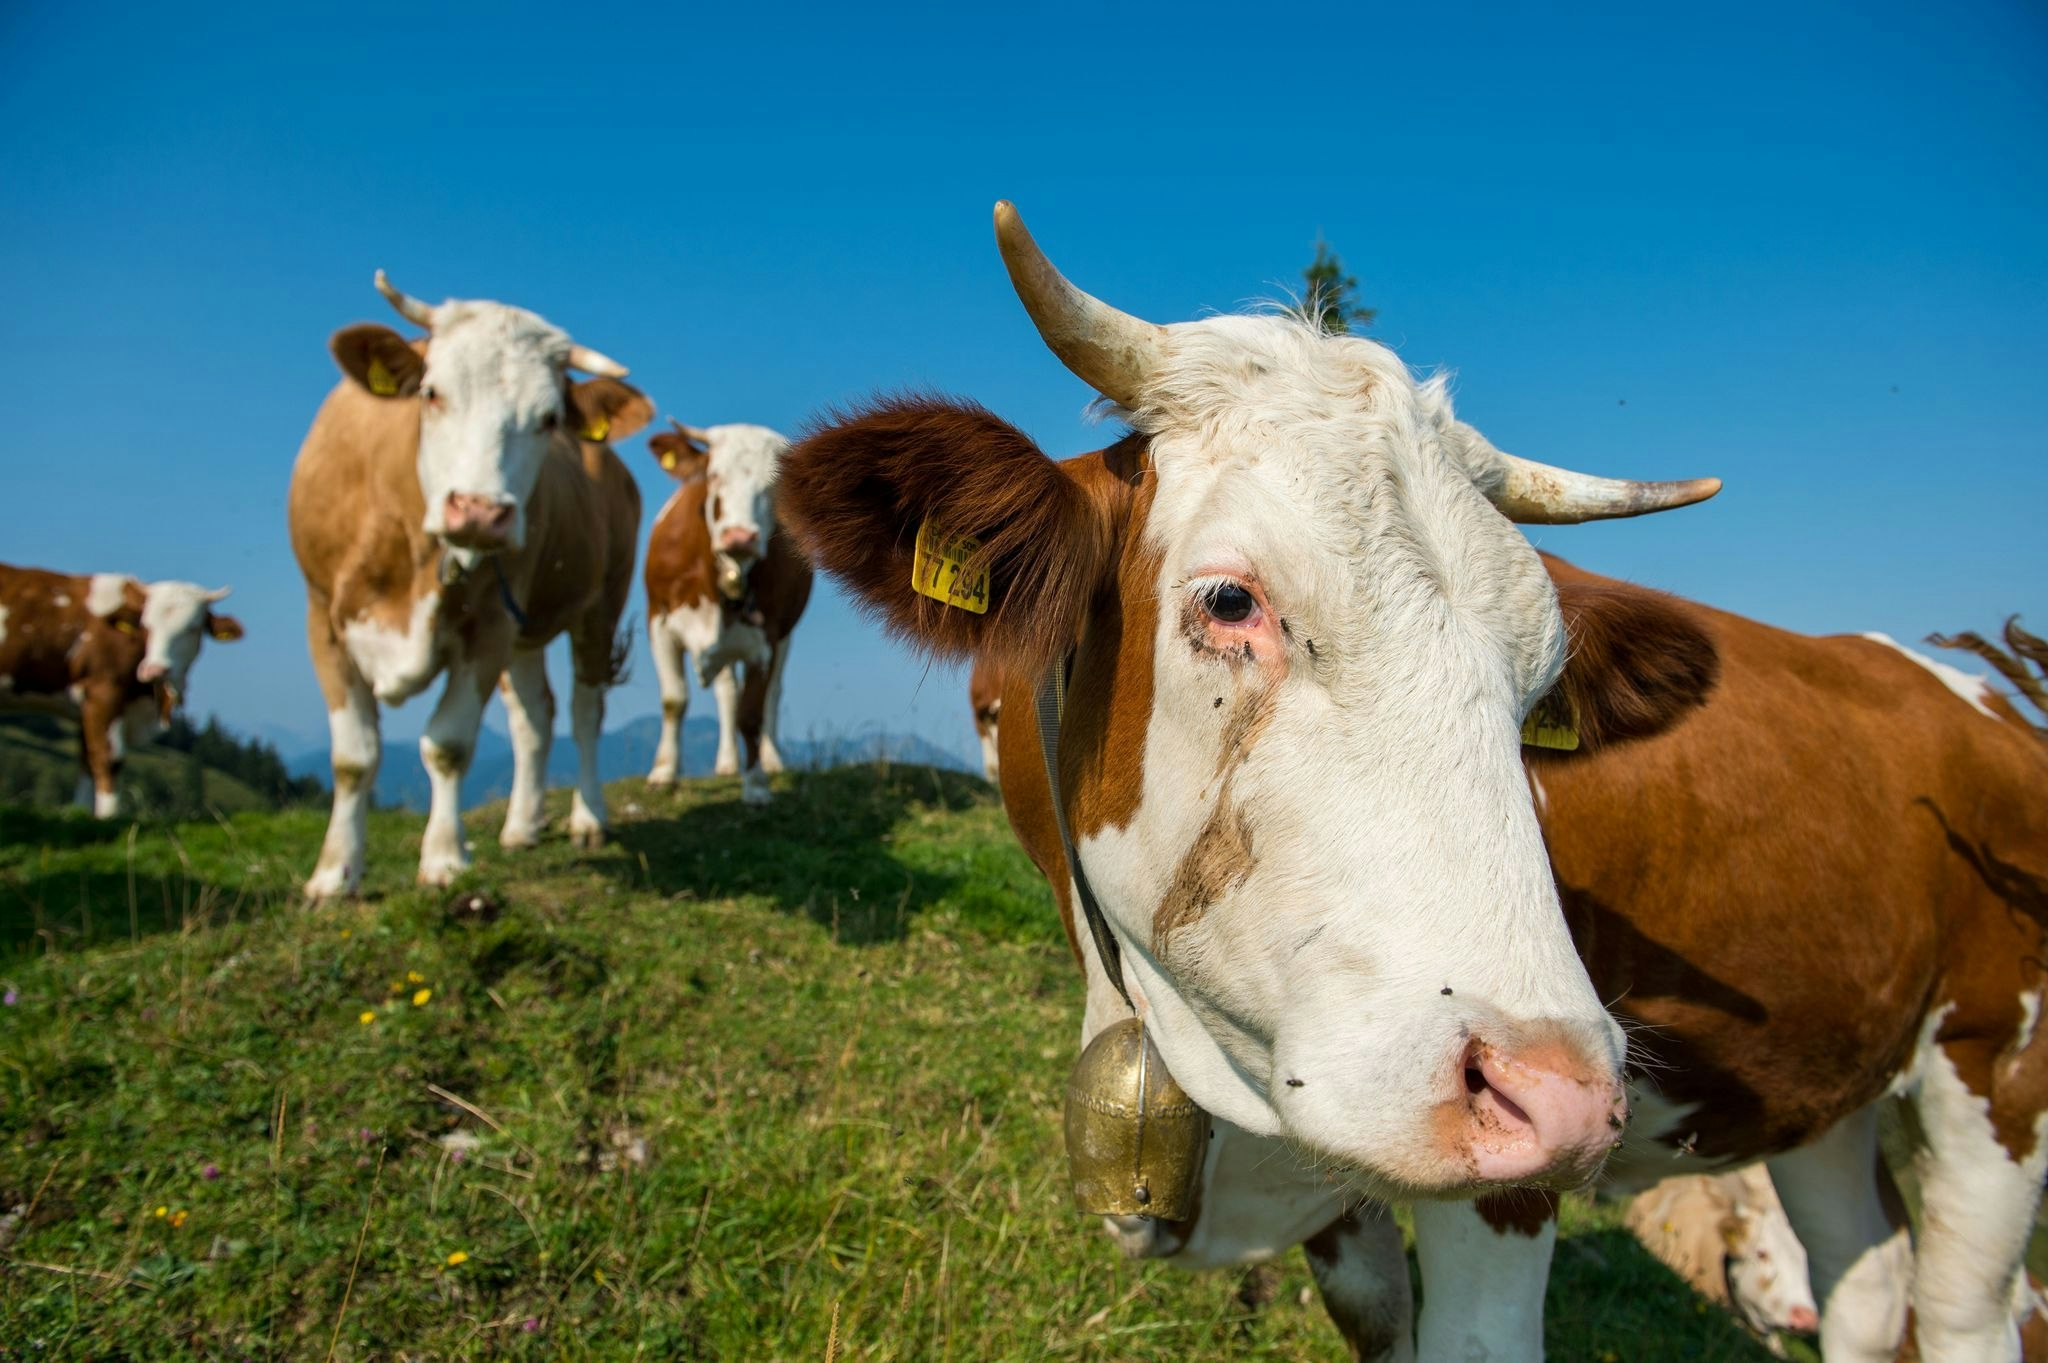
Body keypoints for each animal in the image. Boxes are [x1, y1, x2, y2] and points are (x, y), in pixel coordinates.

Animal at [0, 562, 242, 816]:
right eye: (146, 625)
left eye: (194, 629)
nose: (155, 670)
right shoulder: (104, 691)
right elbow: (108, 759)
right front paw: (109, 817)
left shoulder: (86, 707)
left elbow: (87, 761)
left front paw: (82, 814)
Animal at [289, 274, 649, 898]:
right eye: (431, 393)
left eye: (548, 418)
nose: (481, 511)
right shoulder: (323, 618)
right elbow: (353, 757)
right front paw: (335, 875)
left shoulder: (489, 627)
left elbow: (448, 744)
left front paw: (443, 860)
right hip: (525, 629)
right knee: (535, 716)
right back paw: (522, 825)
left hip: (598, 604)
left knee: (584, 710)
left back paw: (588, 818)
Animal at [643, 420, 811, 805]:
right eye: (714, 476)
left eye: (773, 487)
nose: (740, 537)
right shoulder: (659, 622)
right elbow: (674, 700)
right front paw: (663, 772)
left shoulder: (765, 641)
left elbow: (751, 713)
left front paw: (757, 784)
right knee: (727, 692)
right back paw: (727, 763)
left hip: (785, 637)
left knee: (772, 695)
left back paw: (771, 759)